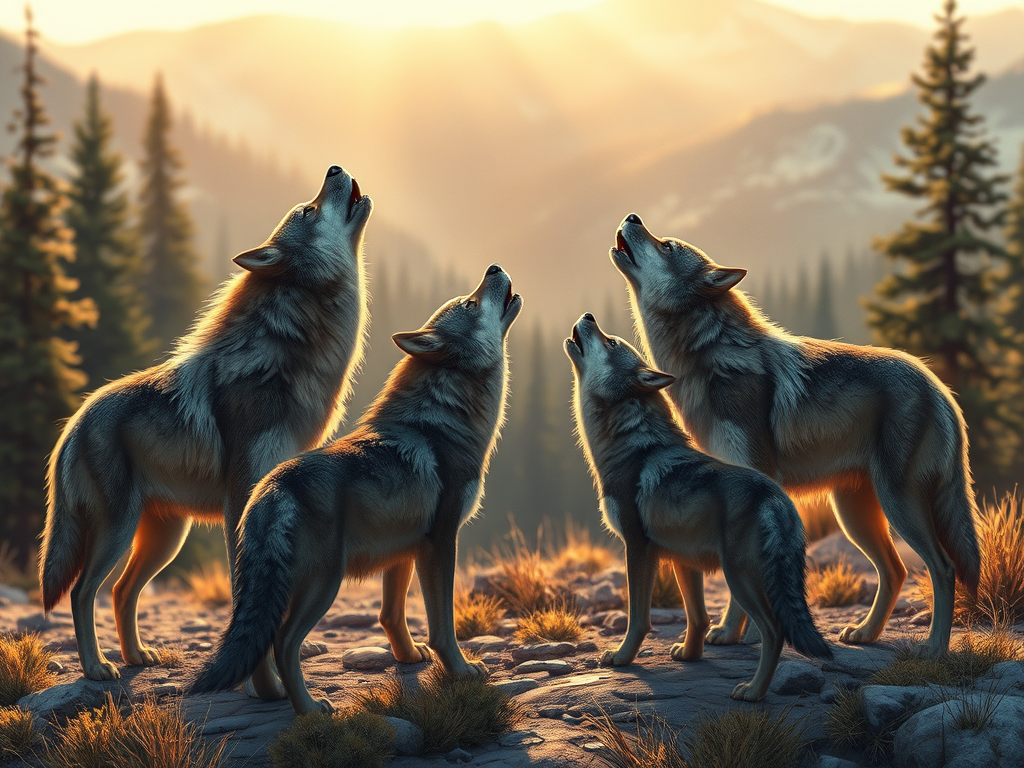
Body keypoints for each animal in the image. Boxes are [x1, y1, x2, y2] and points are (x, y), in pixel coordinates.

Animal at [40, 166, 372, 688]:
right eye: (308, 210)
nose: (334, 169)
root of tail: (74, 422)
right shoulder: (242, 497)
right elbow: (245, 597)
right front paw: (265, 687)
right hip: (119, 531)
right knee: (82, 591)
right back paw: (97, 668)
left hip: (165, 539)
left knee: (120, 591)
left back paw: (137, 657)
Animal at [189, 264, 522, 715]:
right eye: (470, 304)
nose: (493, 268)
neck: (441, 426)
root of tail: (272, 487)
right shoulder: (440, 541)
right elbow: (443, 628)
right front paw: (461, 671)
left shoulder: (406, 546)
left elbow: (391, 615)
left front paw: (408, 658)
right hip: (325, 583)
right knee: (283, 642)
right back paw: (309, 710)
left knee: (264, 642)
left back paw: (277, 696)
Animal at [566, 313, 830, 701]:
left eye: (610, 341)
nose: (588, 316)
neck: (631, 448)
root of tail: (776, 498)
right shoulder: (681, 557)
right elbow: (698, 618)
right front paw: (690, 656)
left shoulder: (638, 548)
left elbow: (638, 618)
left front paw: (622, 658)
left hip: (739, 578)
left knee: (774, 631)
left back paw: (753, 692)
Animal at [610, 213, 981, 657]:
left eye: (667, 246)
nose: (632, 217)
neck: (708, 362)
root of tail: (940, 388)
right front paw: (733, 633)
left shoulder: (754, 483)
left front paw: (742, 634)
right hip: (854, 514)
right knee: (896, 570)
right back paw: (865, 634)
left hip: (897, 504)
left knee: (943, 567)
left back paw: (934, 649)